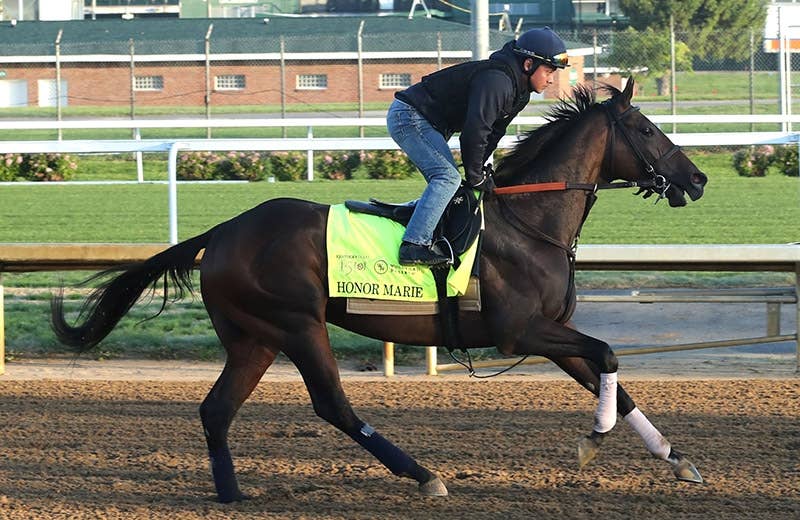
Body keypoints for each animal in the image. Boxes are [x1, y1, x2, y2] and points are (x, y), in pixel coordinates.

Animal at [51, 78, 708, 502]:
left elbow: (609, 375)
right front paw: (592, 440)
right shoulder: (520, 332)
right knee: (333, 406)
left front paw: (678, 461)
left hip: (254, 338)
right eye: (646, 128)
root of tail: (223, 231)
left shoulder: (552, 333)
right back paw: (424, 476)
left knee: (216, 409)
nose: (698, 179)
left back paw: (232, 492)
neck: (530, 222)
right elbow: (608, 356)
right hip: (297, 324)